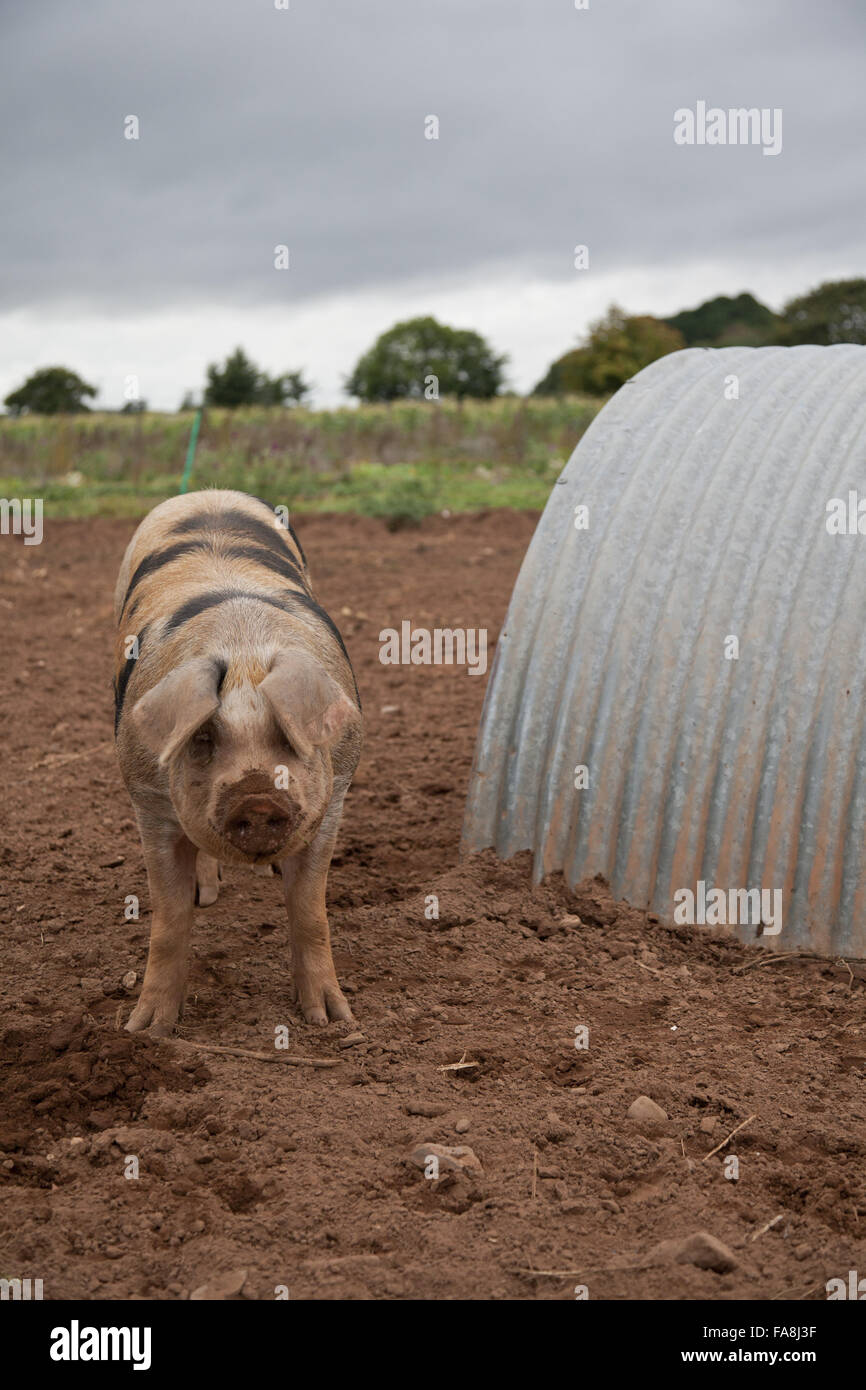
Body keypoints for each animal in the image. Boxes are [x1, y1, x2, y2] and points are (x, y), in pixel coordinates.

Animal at [113, 489, 362, 1036]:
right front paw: (146, 1030)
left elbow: (310, 911)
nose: (257, 796)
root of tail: (207, 491)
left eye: (289, 735)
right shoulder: (148, 800)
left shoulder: (335, 796)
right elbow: (169, 919)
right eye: (203, 736)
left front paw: (331, 1020)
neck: (243, 647)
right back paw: (208, 894)